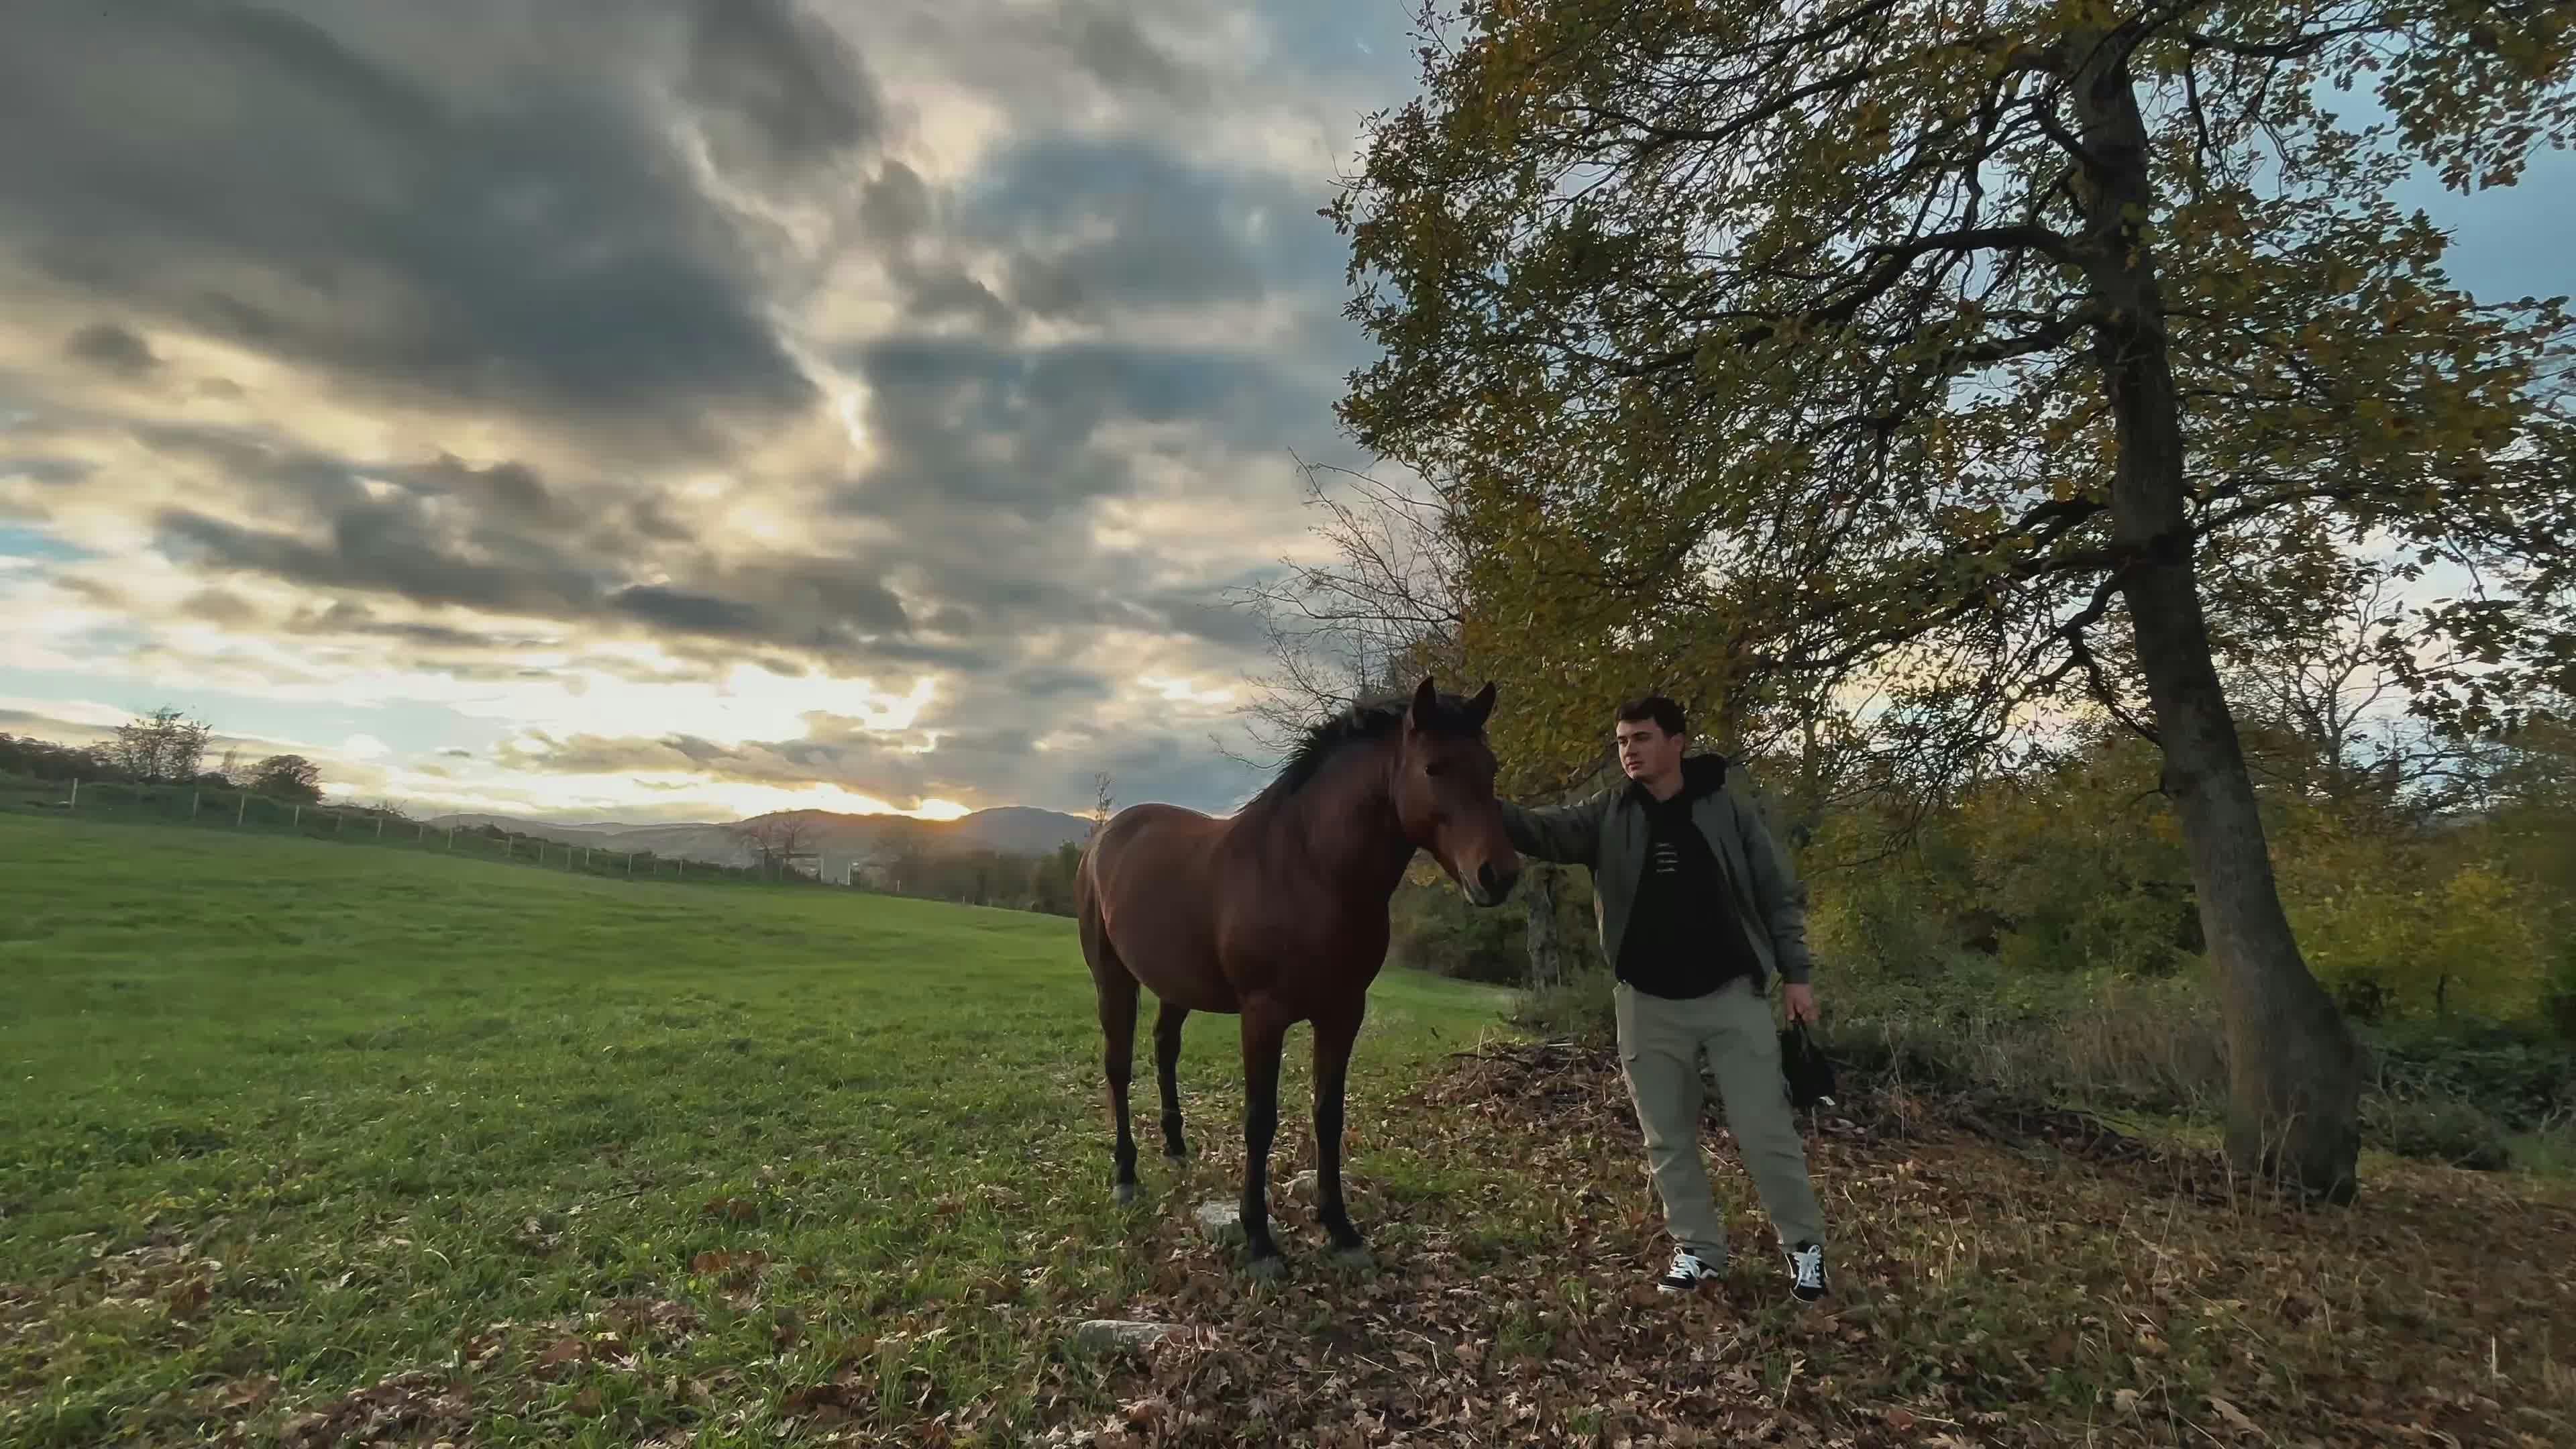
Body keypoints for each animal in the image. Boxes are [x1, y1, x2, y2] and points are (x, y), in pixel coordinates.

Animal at [1074, 676, 1523, 1277]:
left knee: (1165, 1048)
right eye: (1434, 768)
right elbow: (1260, 1120)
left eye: (1490, 767)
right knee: (1118, 1067)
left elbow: (1328, 1115)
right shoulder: (1264, 1017)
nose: (1498, 875)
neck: (1310, 870)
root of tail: (1106, 837)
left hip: (1177, 986)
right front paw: (1259, 1239)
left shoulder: (1343, 1012)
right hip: (1113, 978)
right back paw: (1126, 1174)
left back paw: (1176, 1148)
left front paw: (1340, 1229)